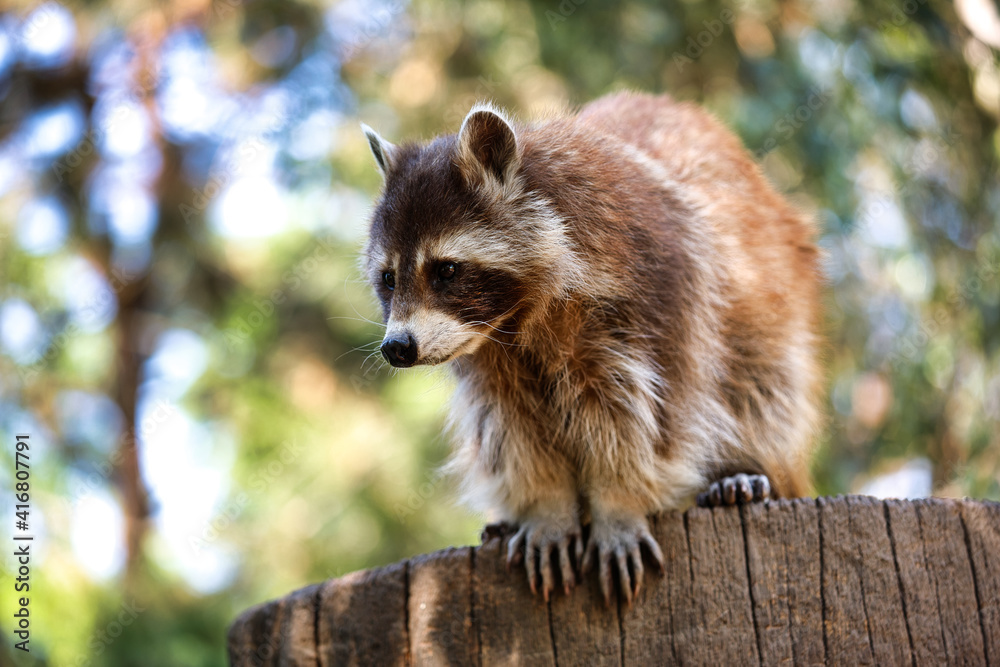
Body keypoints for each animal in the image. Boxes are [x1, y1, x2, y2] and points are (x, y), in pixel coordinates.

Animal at [361, 91, 822, 604]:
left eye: (445, 270)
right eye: (388, 279)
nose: (397, 347)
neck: (515, 320)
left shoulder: (660, 301)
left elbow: (650, 421)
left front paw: (618, 503)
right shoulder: (486, 356)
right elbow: (513, 429)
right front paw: (546, 508)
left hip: (767, 301)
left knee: (763, 387)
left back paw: (745, 468)